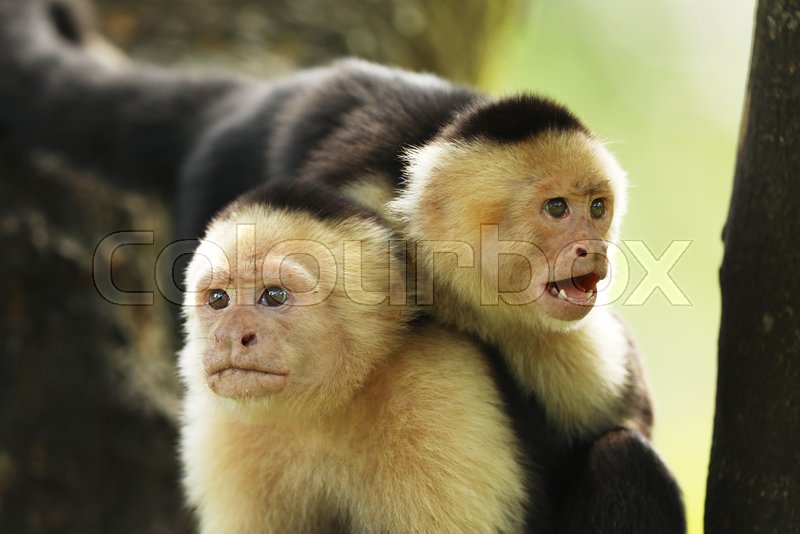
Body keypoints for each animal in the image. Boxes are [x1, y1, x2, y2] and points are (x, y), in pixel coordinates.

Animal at [178, 181, 532, 533]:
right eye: (219, 299)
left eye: (274, 296)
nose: (231, 337)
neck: (325, 408)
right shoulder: (225, 433)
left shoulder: (436, 393)